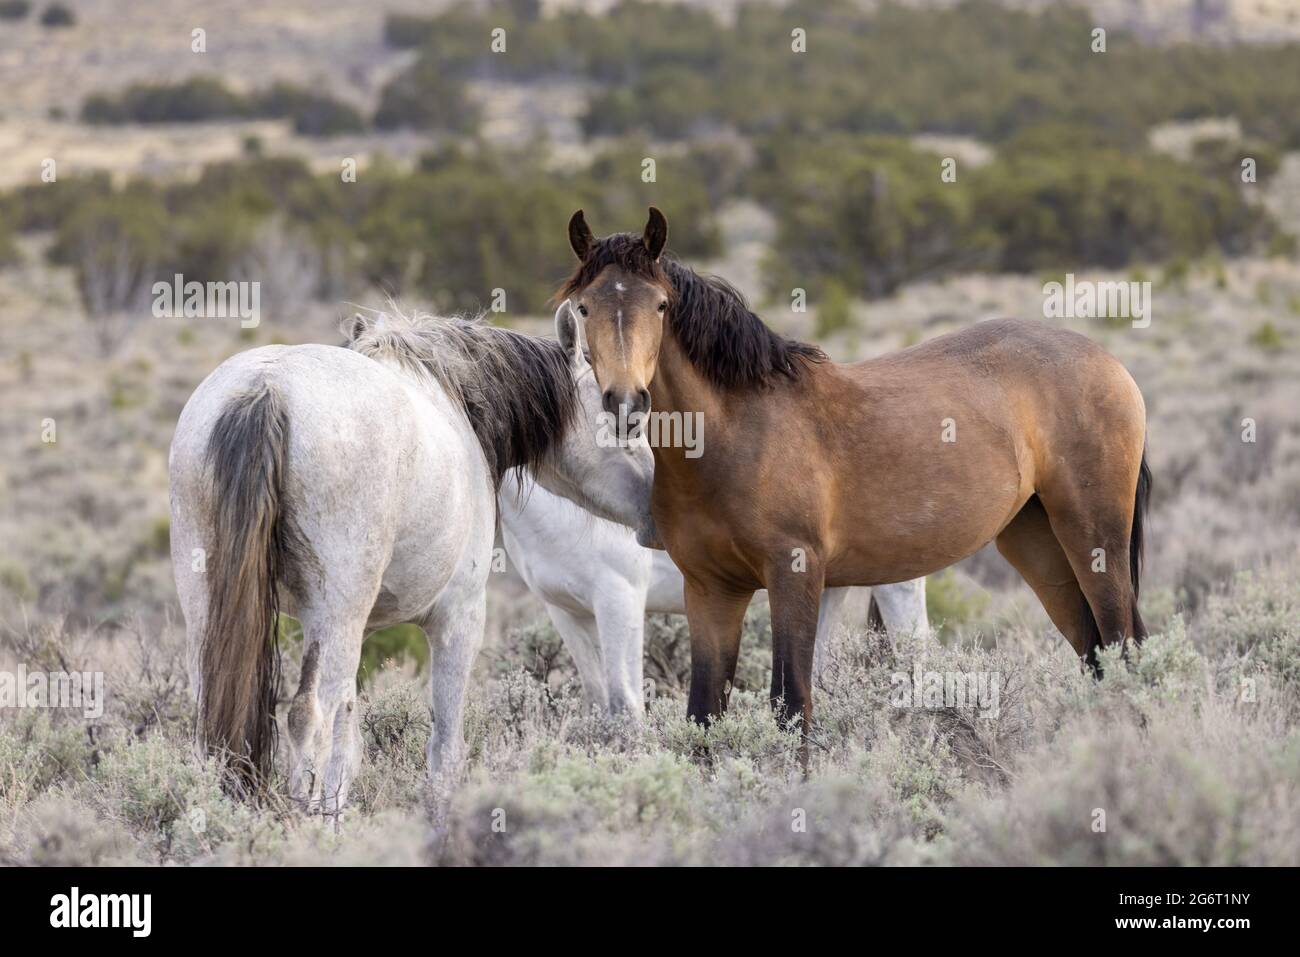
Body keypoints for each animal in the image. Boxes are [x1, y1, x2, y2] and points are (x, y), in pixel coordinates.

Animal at [168, 303, 655, 811]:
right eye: (623, 417)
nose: (656, 505)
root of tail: (268, 387)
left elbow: (348, 741)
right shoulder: (459, 618)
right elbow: (444, 746)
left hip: (208, 607)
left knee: (216, 713)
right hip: (334, 612)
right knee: (308, 714)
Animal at [560, 207, 1152, 741]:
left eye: (660, 305)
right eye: (585, 308)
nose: (625, 401)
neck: (737, 433)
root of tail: (1109, 363)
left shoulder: (794, 575)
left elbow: (791, 704)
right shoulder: (711, 590)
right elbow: (704, 714)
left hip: (1092, 536)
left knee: (1124, 648)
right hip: (1037, 544)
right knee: (1097, 652)